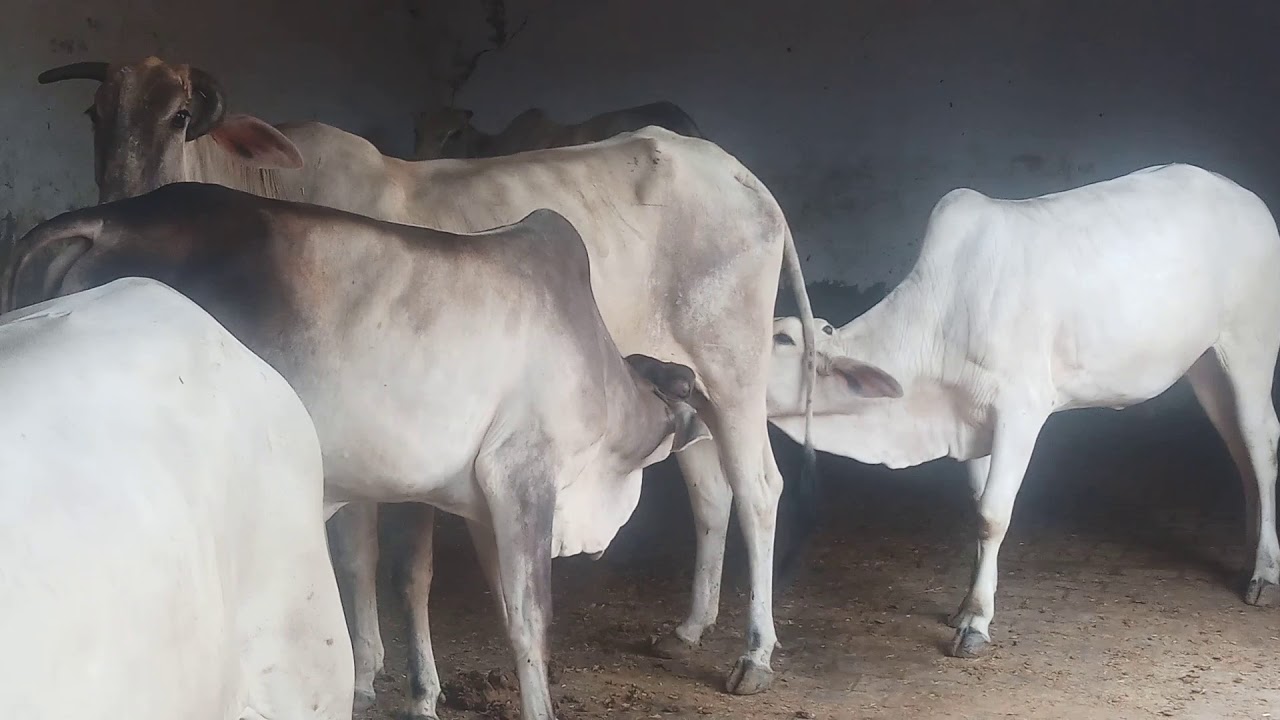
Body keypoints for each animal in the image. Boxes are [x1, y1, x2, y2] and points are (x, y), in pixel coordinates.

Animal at [765, 163, 1280, 658]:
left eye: (783, 339)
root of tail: (1245, 196)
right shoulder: (971, 419)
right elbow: (976, 504)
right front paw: (965, 606)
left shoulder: (1020, 411)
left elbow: (993, 513)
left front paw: (976, 623)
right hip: (1206, 365)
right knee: (1239, 450)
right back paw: (1250, 554)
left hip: (1248, 349)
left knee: (1261, 444)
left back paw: (1264, 572)